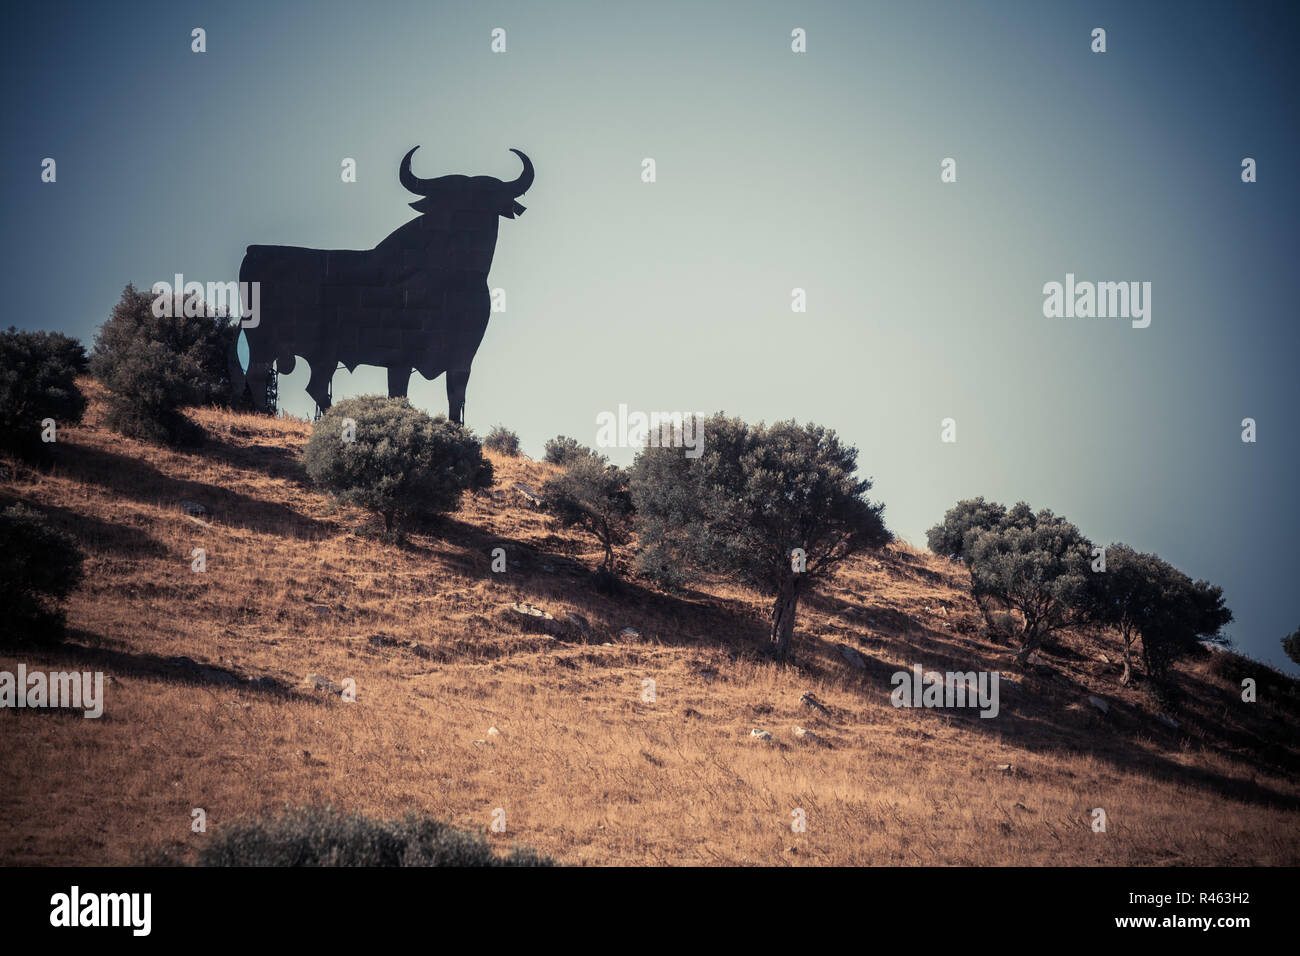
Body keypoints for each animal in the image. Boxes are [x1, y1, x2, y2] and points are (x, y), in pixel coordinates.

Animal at [231, 146, 534, 424]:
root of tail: (253, 251)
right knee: (258, 374)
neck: (453, 282)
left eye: (487, 201)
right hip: (263, 339)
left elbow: (455, 397)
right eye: (447, 202)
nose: (465, 230)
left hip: (322, 355)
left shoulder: (463, 358)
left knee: (313, 385)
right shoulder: (400, 357)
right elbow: (398, 393)